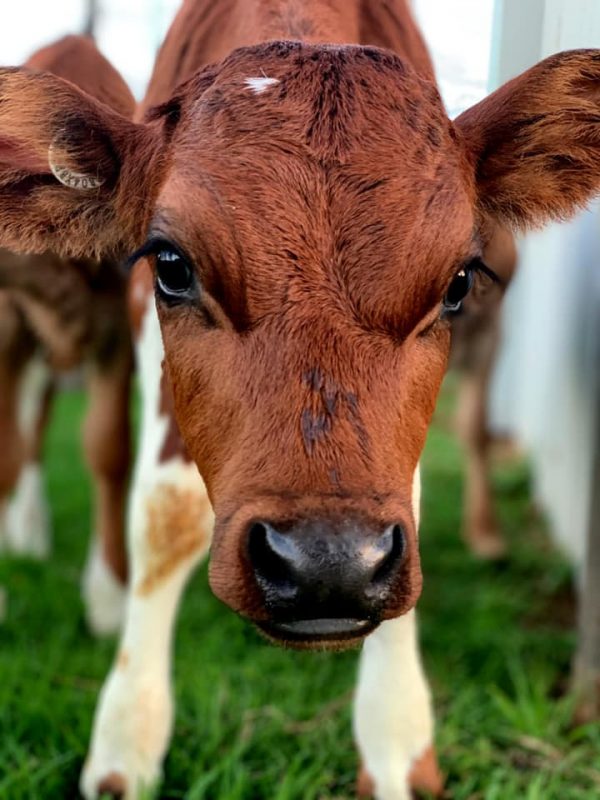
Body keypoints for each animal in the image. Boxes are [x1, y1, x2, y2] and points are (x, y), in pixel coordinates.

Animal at [0, 1, 598, 798]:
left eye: (459, 282)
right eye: (172, 265)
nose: (328, 565)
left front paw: (396, 741)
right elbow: (164, 512)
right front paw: (126, 739)